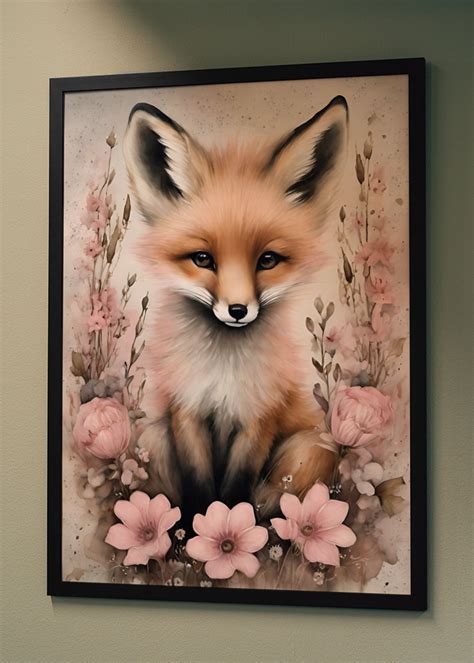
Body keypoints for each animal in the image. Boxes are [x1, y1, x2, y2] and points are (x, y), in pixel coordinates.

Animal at [123, 95, 349, 529]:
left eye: (268, 260)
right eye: (202, 259)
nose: (238, 310)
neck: (223, 371)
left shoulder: (260, 417)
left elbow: (235, 491)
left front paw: (232, 531)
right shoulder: (186, 412)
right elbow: (198, 485)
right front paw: (197, 534)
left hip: (311, 446)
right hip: (153, 438)